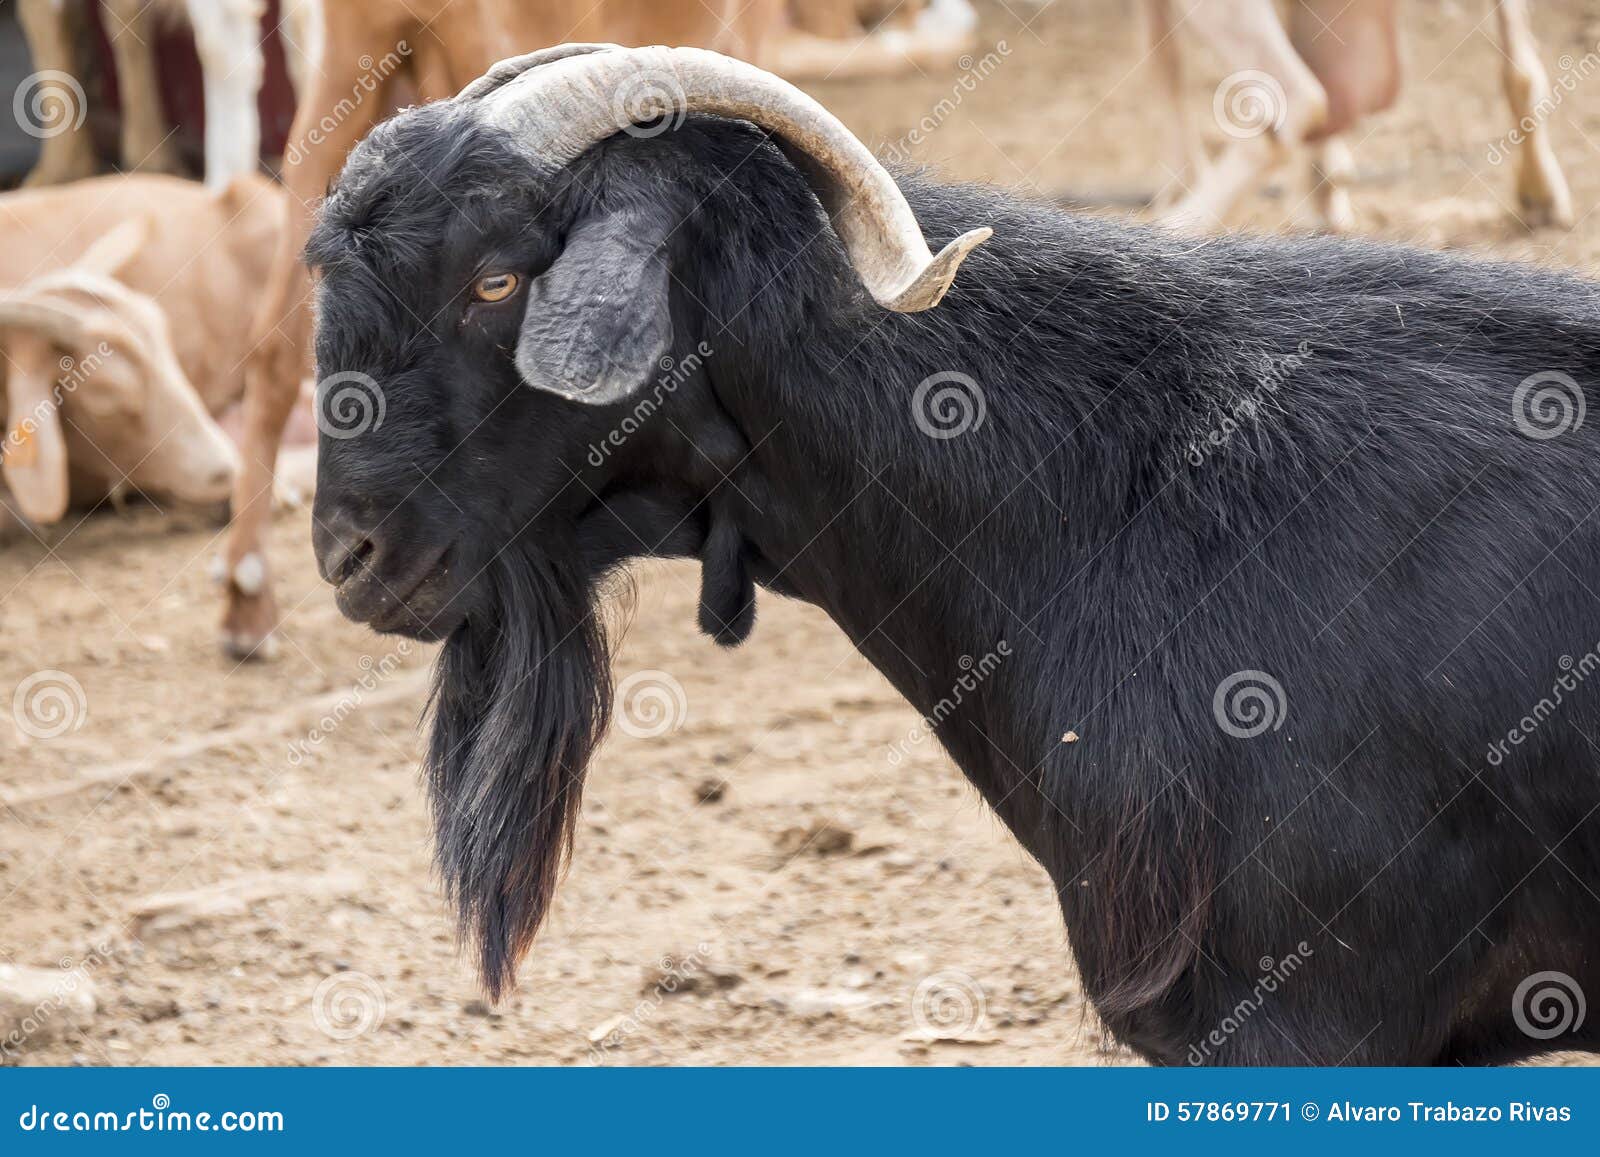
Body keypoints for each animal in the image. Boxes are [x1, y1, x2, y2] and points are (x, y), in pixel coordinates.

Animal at [1145, 0, 1574, 234]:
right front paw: (1323, 195)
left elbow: (1164, 58)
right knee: (1522, 72)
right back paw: (1542, 196)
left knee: (1301, 95)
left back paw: (1177, 224)